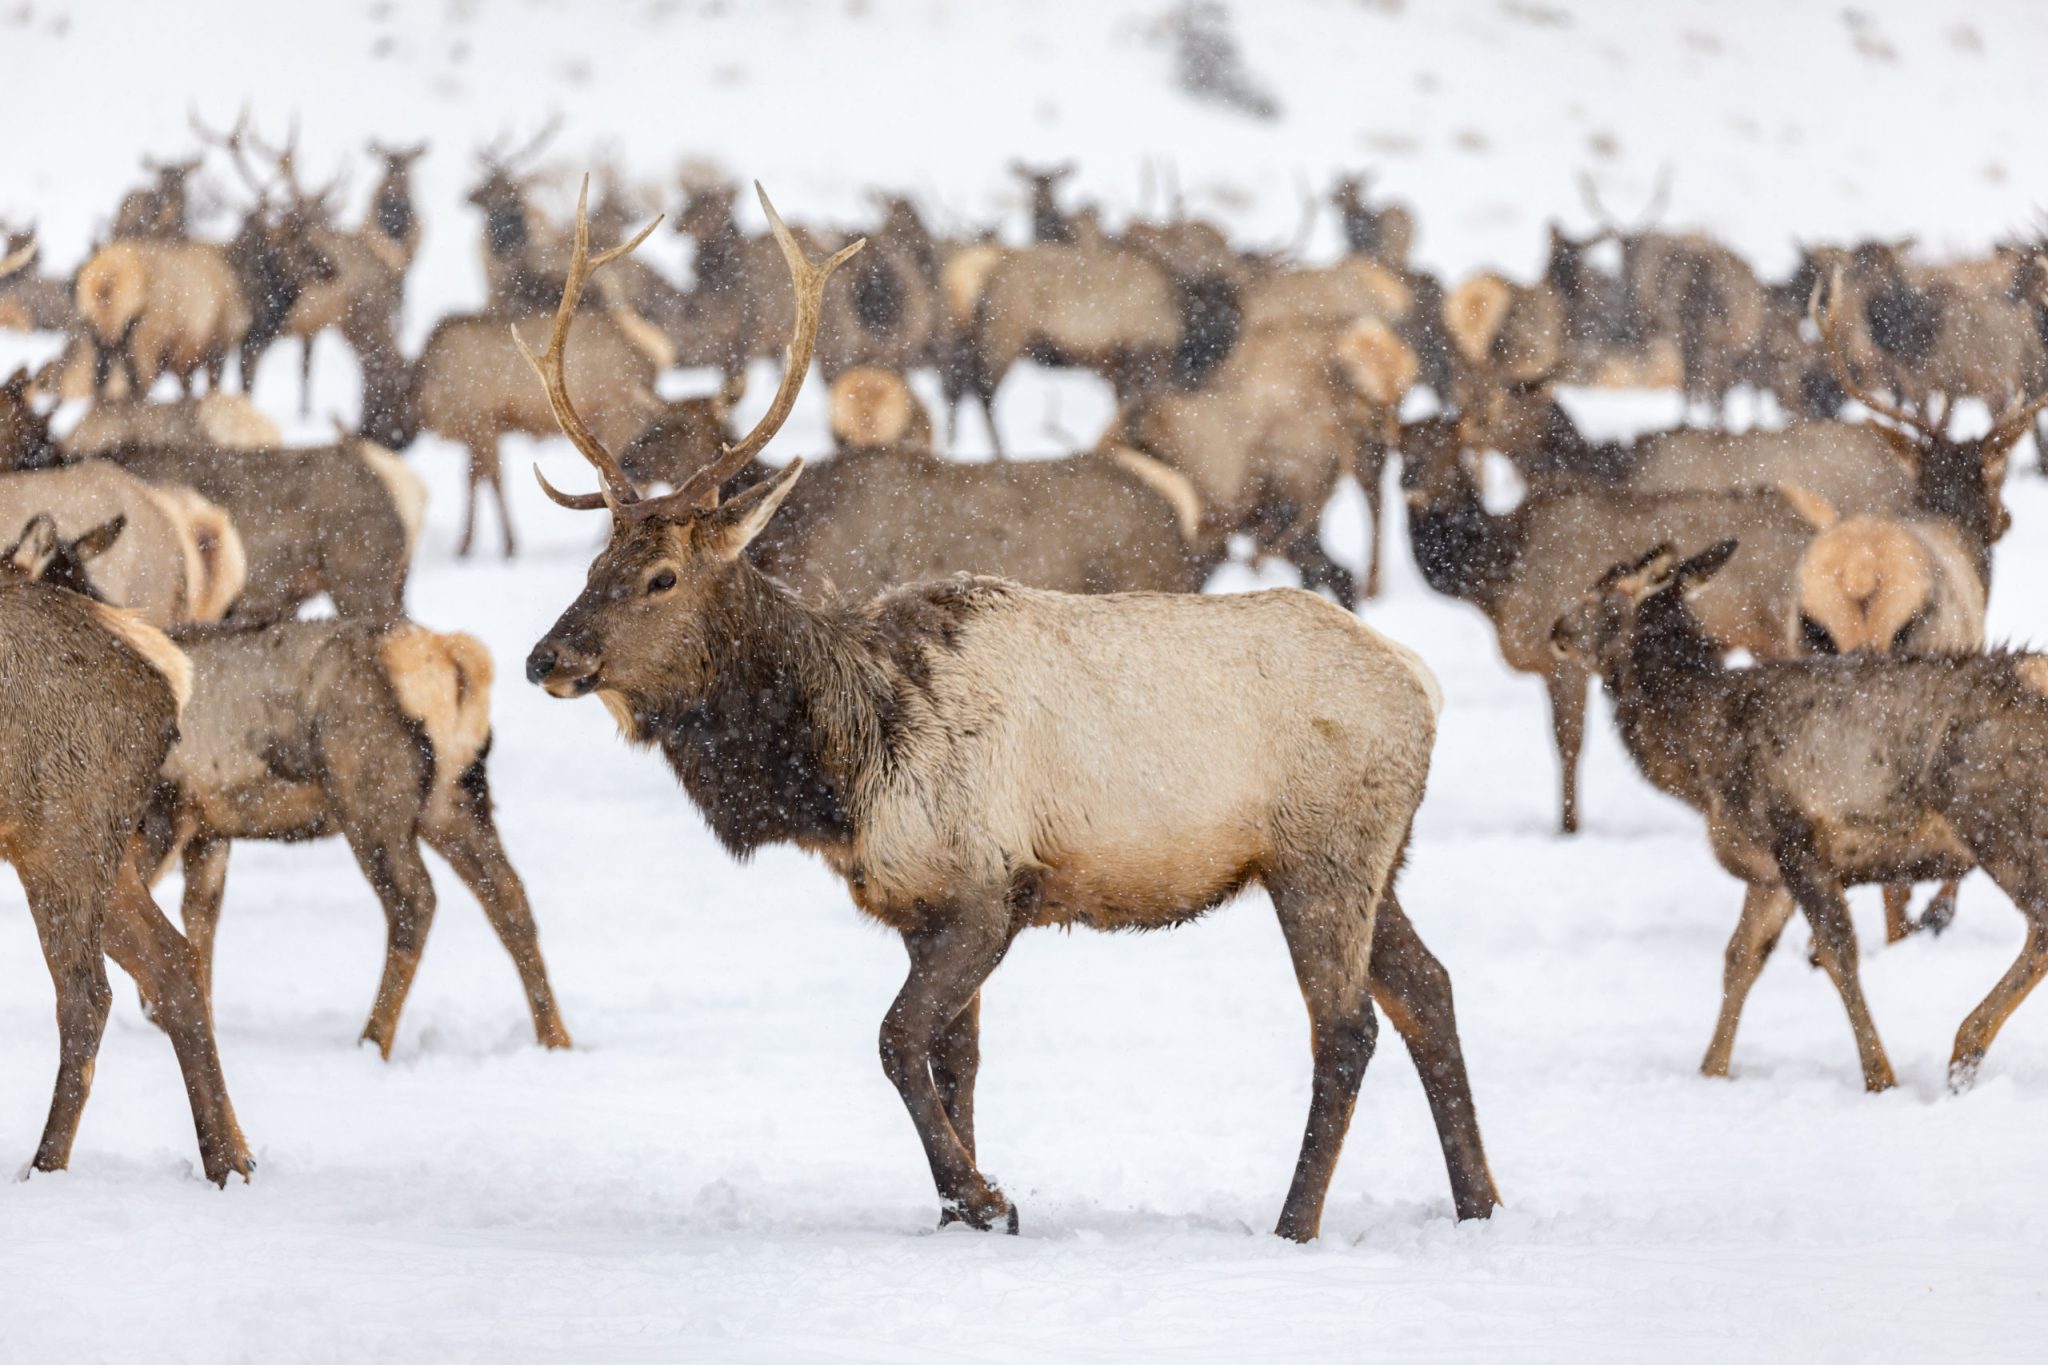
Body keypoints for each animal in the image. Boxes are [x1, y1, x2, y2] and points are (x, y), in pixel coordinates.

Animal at [0, 517, 252, 1183]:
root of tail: (166, 670)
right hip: (91, 854)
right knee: (175, 964)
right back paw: (230, 1160)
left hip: (64, 842)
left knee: (89, 997)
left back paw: (44, 1166)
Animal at [518, 180, 1499, 1238]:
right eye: (595, 563)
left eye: (660, 575)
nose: (546, 657)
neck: (843, 768)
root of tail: (1420, 682)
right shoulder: (919, 902)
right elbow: (955, 1060)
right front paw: (964, 1212)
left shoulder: (992, 887)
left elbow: (895, 1040)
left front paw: (988, 1196)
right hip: (1374, 858)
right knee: (1431, 989)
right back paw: (1477, 1200)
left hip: (1323, 852)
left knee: (1347, 1025)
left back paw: (1295, 1222)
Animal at [1551, 540, 2048, 1094]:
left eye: (1600, 592)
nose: (1556, 632)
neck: (1698, 754)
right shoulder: (1769, 872)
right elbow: (1741, 958)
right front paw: (1711, 1071)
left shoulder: (1795, 837)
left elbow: (1837, 952)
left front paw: (1881, 1078)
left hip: (1996, 816)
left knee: (2041, 922)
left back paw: (1966, 1050)